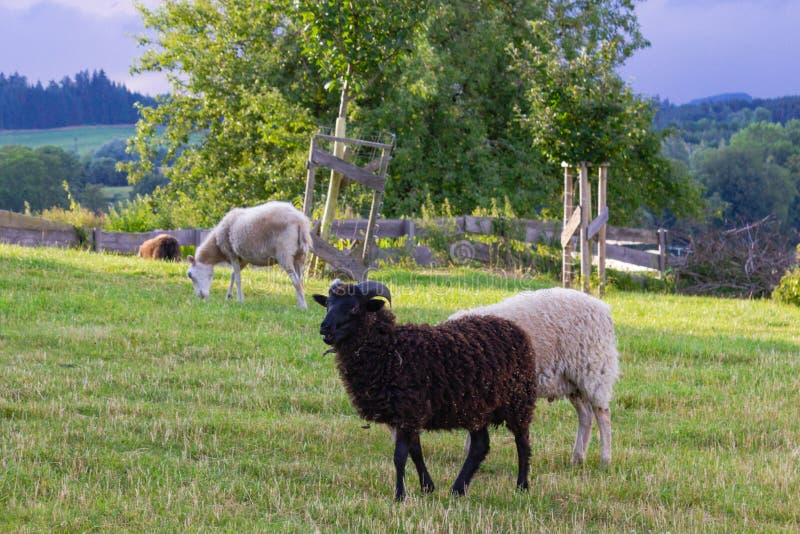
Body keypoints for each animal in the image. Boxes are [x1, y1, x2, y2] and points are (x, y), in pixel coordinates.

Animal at [312, 280, 537, 501]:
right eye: (328, 304)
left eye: (354, 307)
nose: (325, 328)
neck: (391, 349)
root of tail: (514, 328)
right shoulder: (407, 415)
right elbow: (415, 452)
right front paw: (427, 487)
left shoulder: (408, 410)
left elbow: (400, 455)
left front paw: (400, 495)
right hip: (476, 407)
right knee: (480, 445)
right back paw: (458, 489)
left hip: (518, 400)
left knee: (522, 442)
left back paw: (522, 486)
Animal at [449, 287, 619, 467]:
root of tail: (603, 308)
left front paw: (469, 451)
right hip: (571, 380)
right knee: (586, 415)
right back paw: (578, 458)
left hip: (594, 370)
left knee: (603, 414)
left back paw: (605, 460)